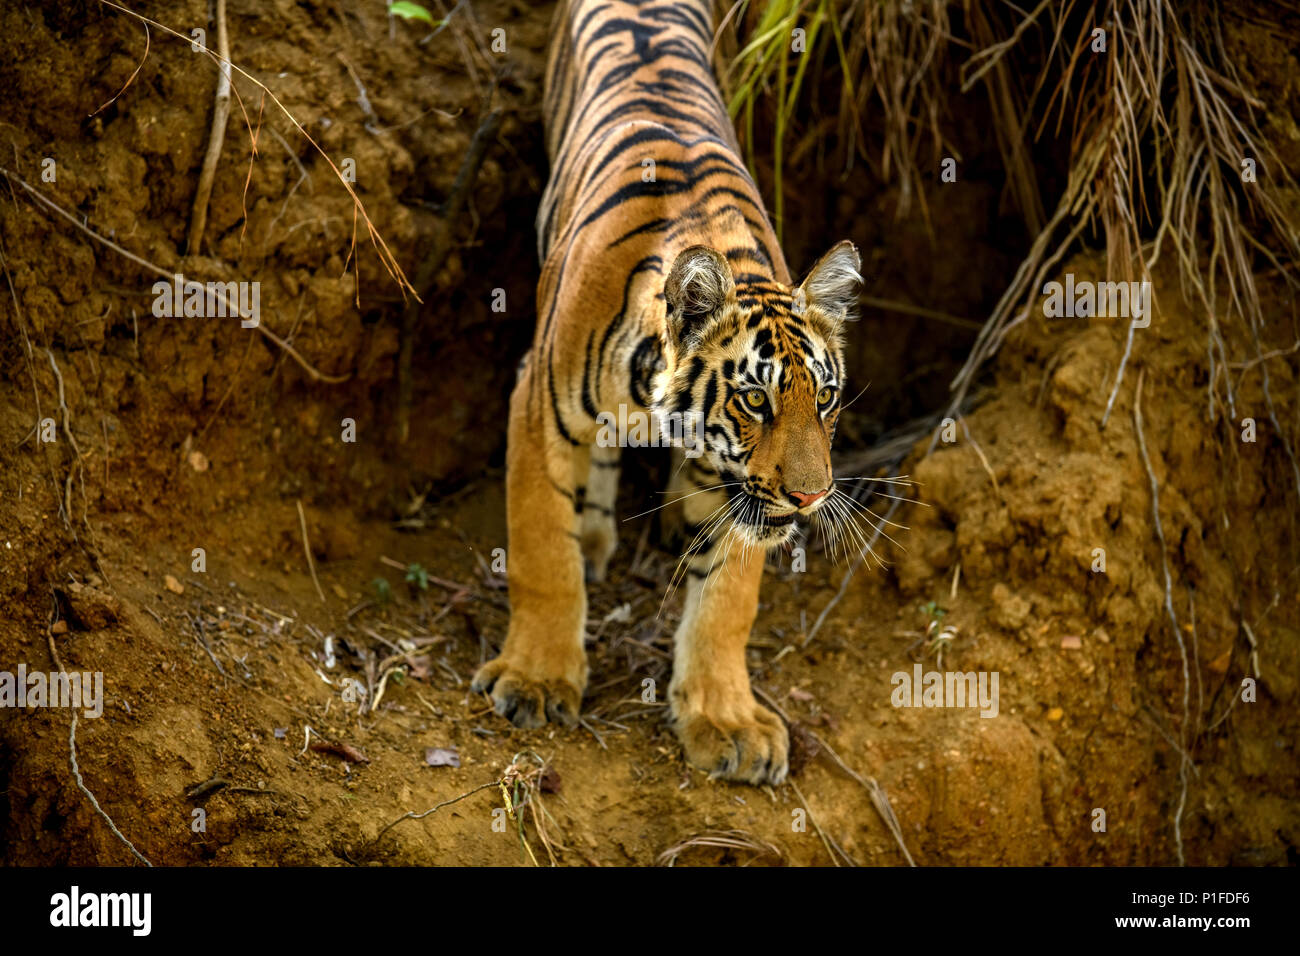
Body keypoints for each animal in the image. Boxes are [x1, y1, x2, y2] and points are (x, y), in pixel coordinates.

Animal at [470, 0, 861, 785]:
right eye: (755, 400)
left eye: (826, 399)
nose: (810, 497)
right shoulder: (537, 409)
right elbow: (541, 550)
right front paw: (535, 681)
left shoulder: (746, 494)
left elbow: (727, 603)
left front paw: (727, 723)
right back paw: (593, 539)